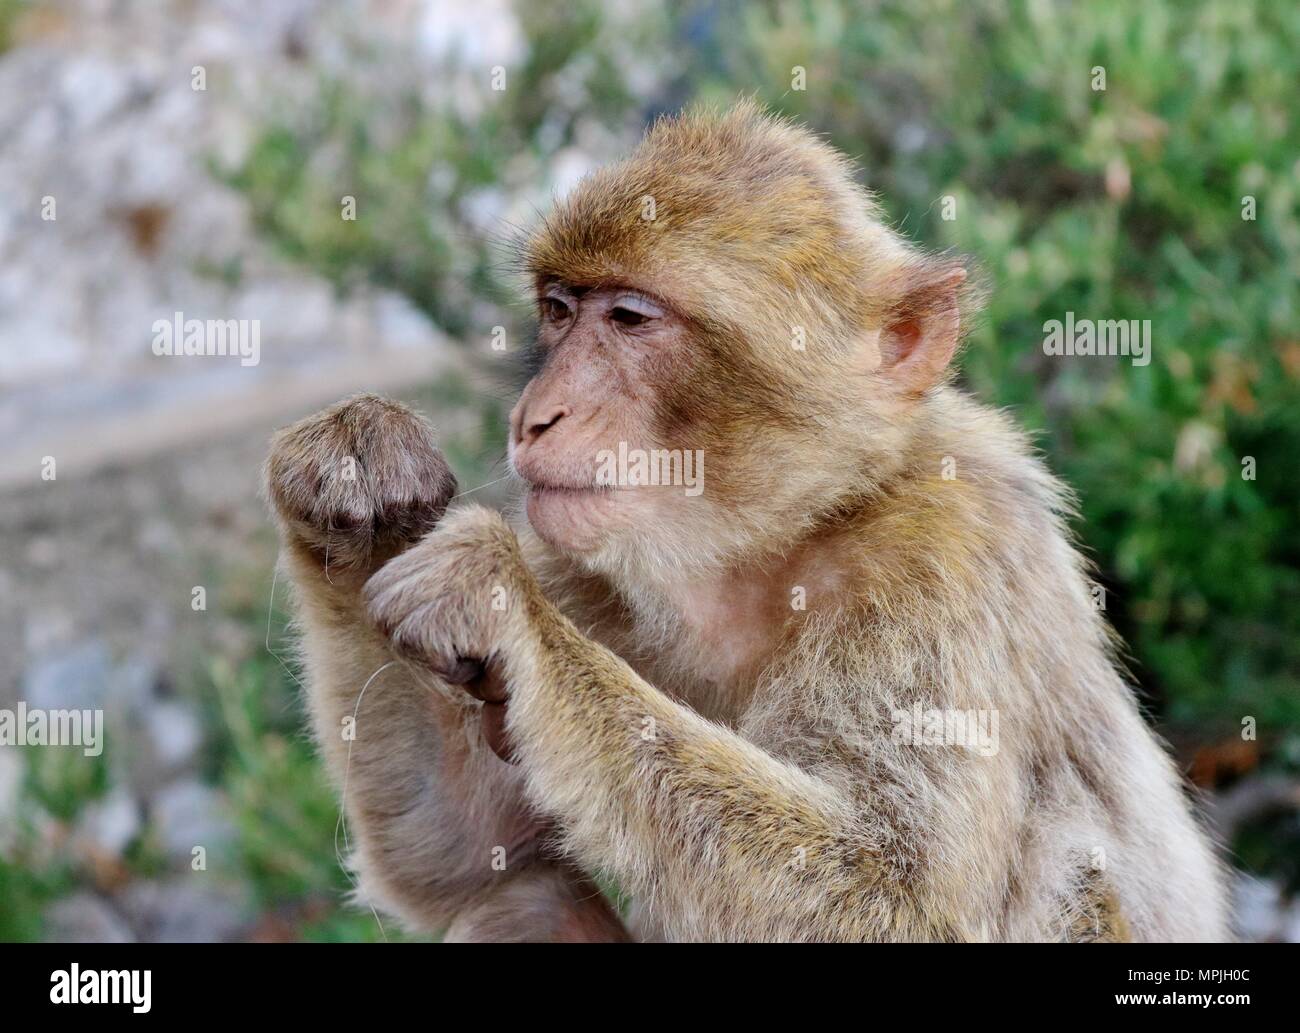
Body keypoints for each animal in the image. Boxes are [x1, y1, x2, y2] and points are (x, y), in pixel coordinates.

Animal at [264, 100, 1229, 942]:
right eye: (559, 309)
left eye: (630, 317)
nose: (535, 416)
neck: (771, 544)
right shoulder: (586, 565)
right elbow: (470, 861)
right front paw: (355, 486)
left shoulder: (942, 558)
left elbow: (896, 899)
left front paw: (506, 606)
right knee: (521, 901)